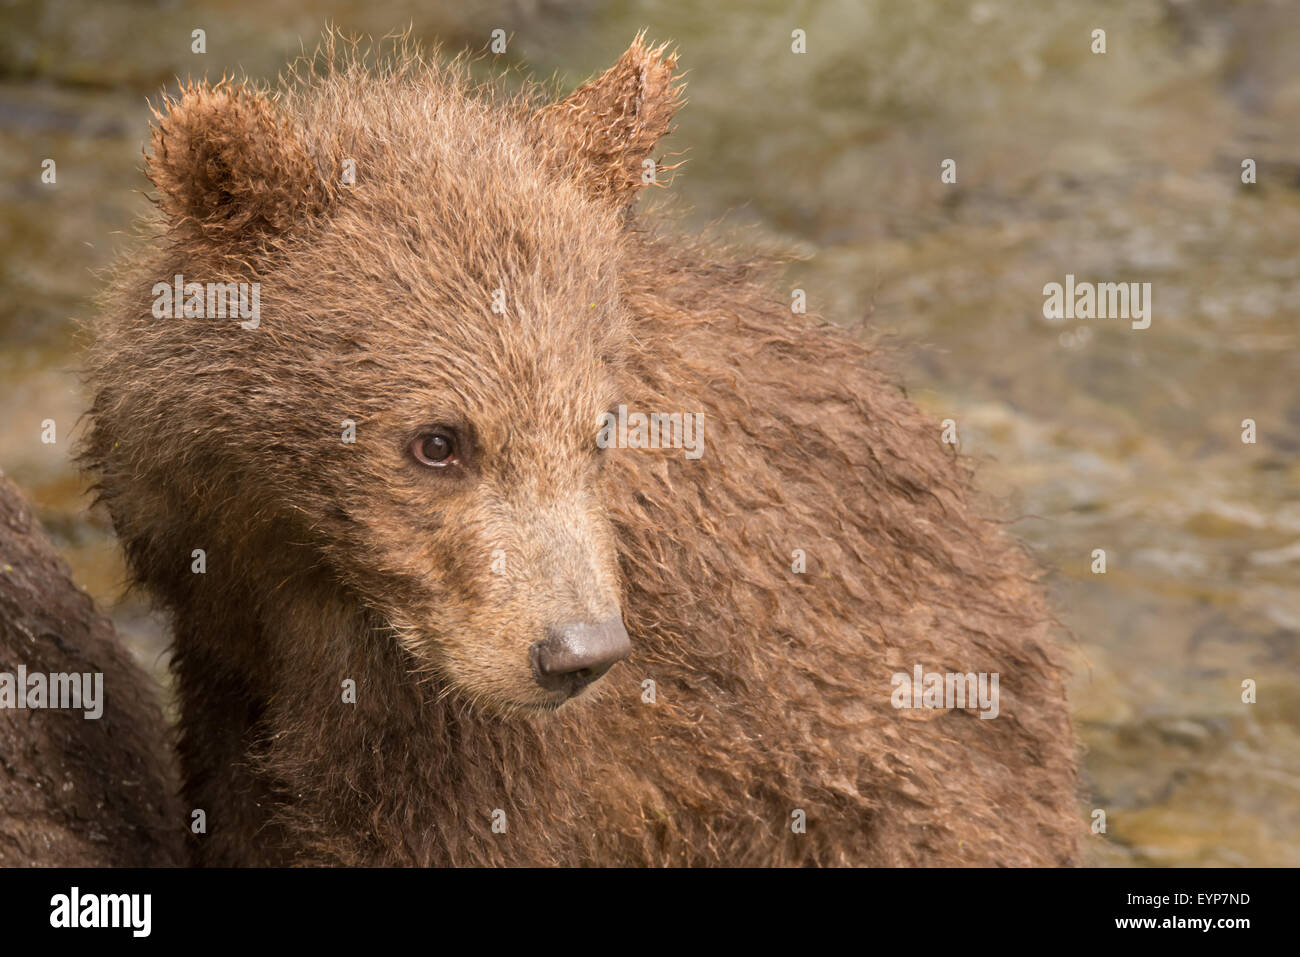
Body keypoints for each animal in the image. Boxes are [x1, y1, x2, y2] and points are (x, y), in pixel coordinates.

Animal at [81, 32, 1081, 866]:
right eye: (438, 440)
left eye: (599, 426)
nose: (577, 653)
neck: (305, 569)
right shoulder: (225, 638)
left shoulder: (484, 735)